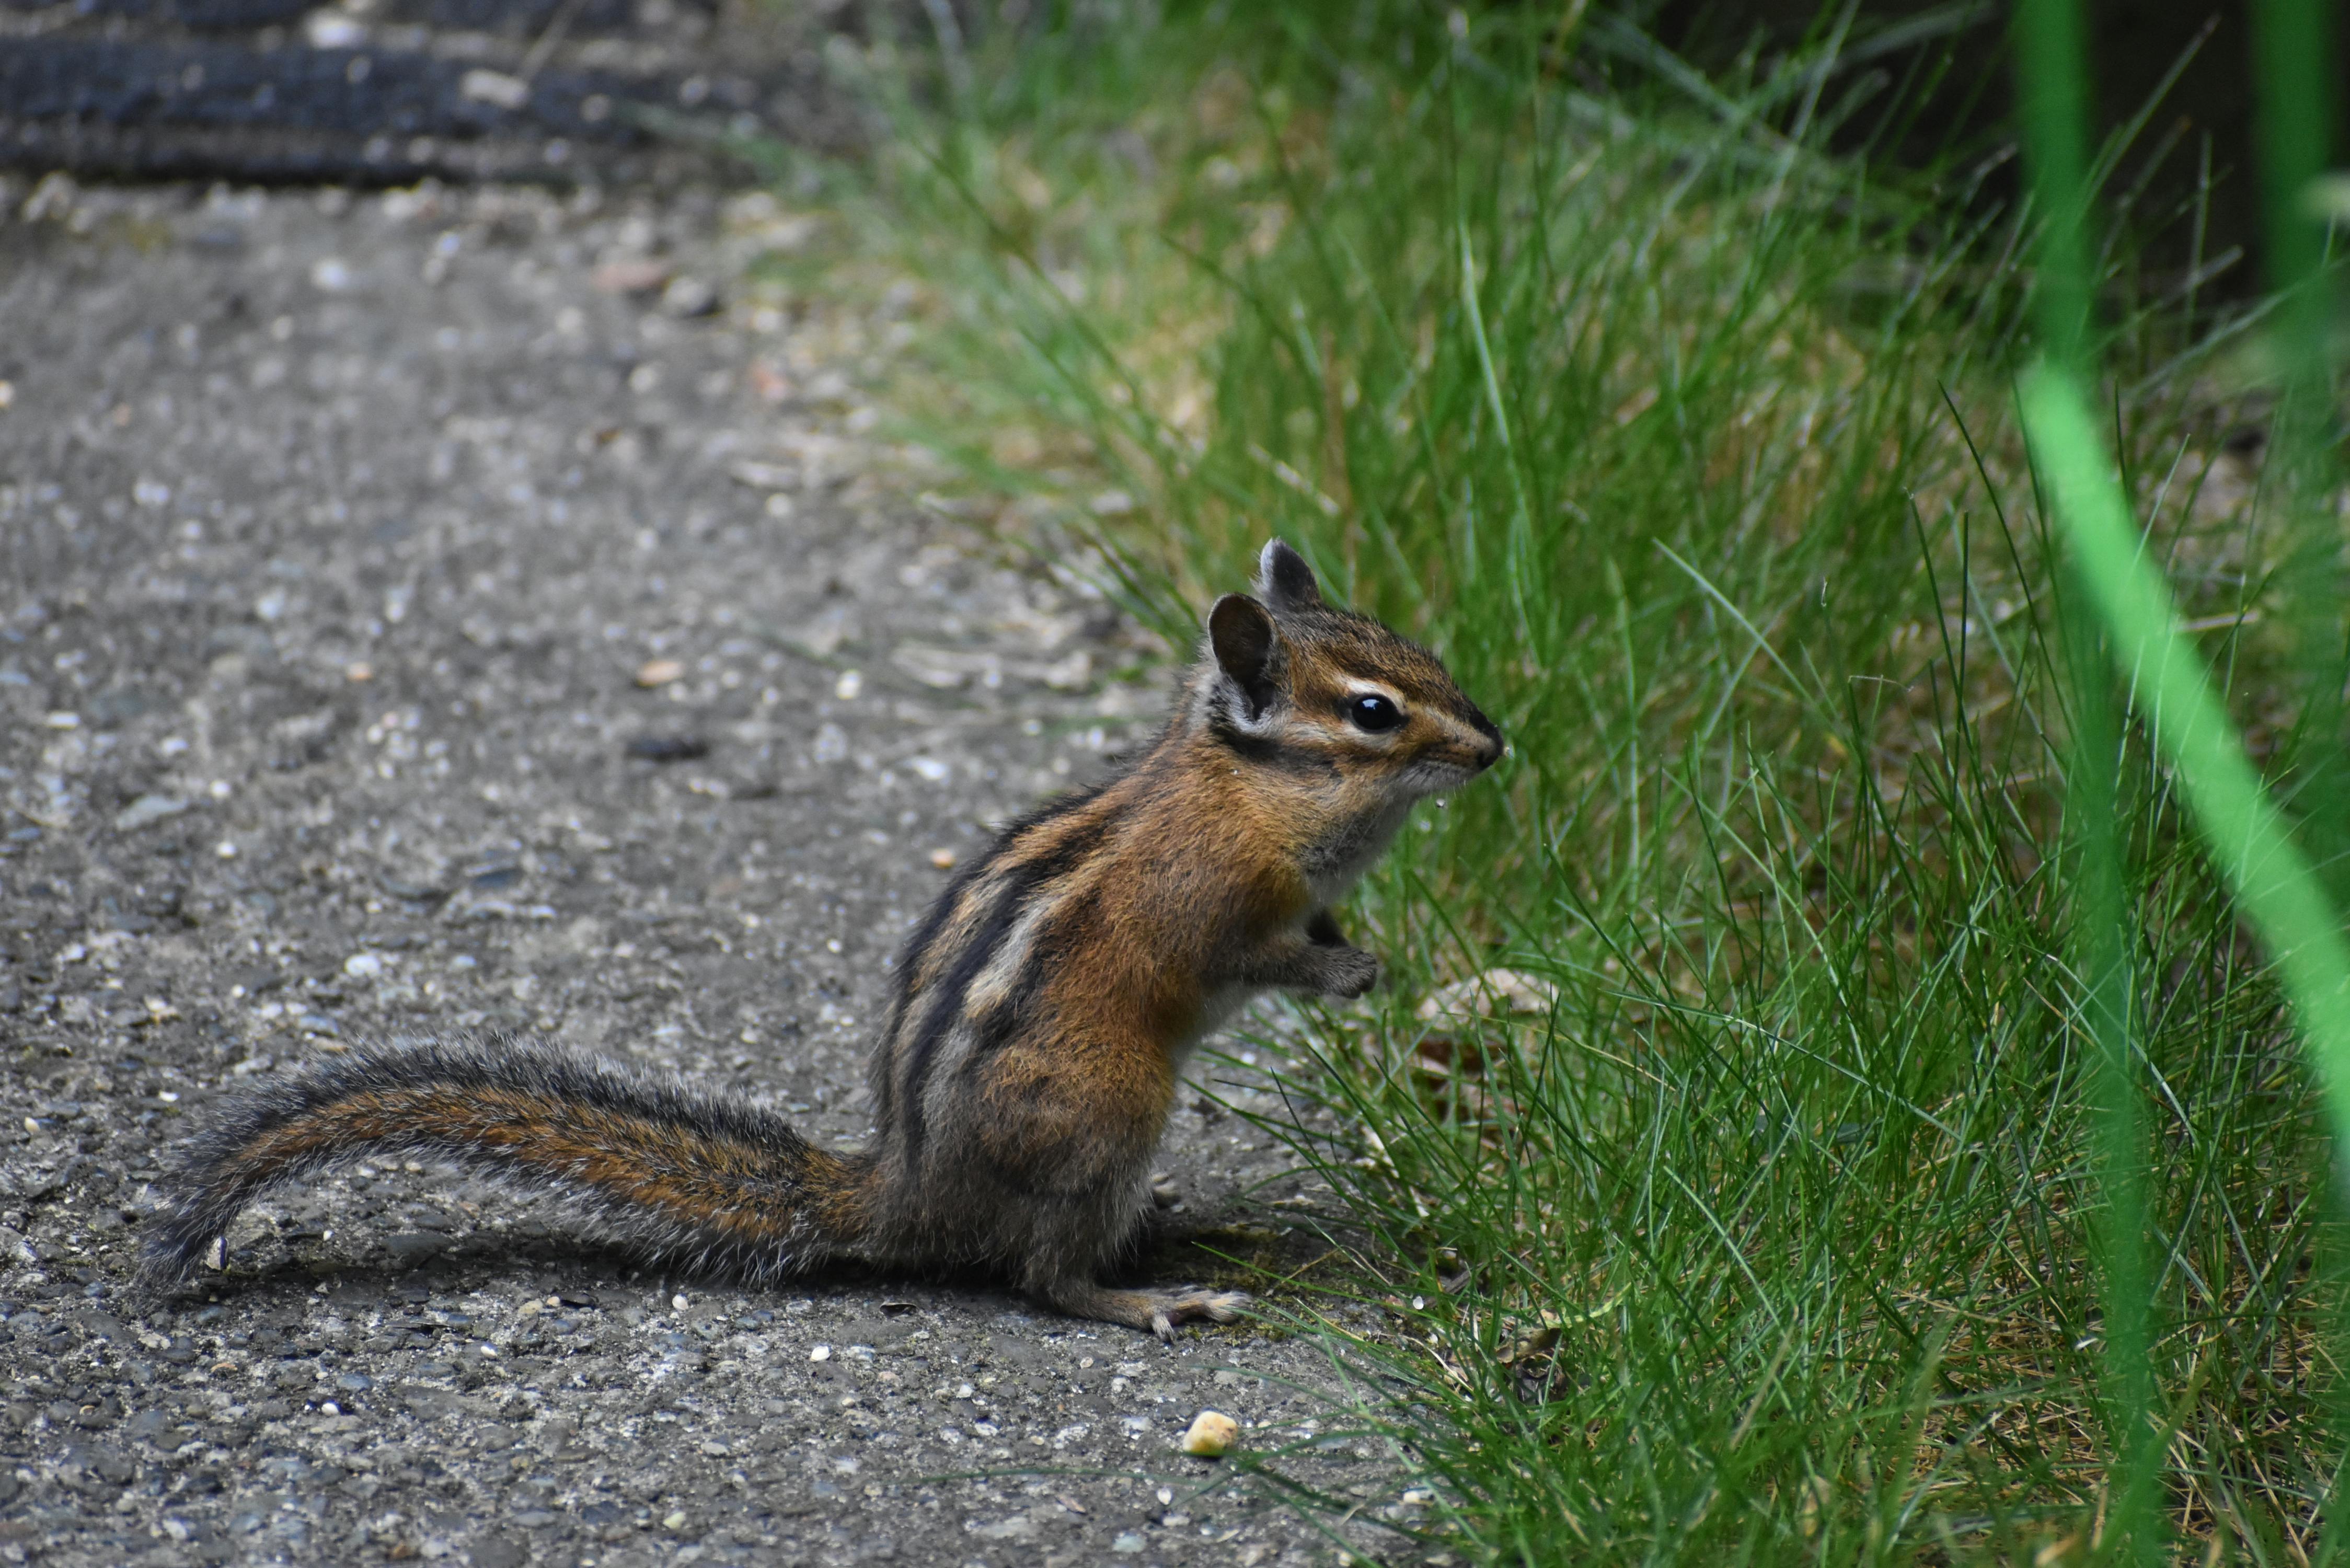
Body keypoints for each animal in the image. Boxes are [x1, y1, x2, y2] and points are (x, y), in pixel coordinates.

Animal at [144, 541, 1503, 1339]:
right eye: (1373, 713)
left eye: (1424, 655)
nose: (1494, 746)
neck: (1250, 784)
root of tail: (906, 1190)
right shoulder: (1206, 902)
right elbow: (1253, 959)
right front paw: (1350, 971)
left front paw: (1366, 949)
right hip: (1110, 1104)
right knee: (1043, 1276)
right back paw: (1151, 1295)